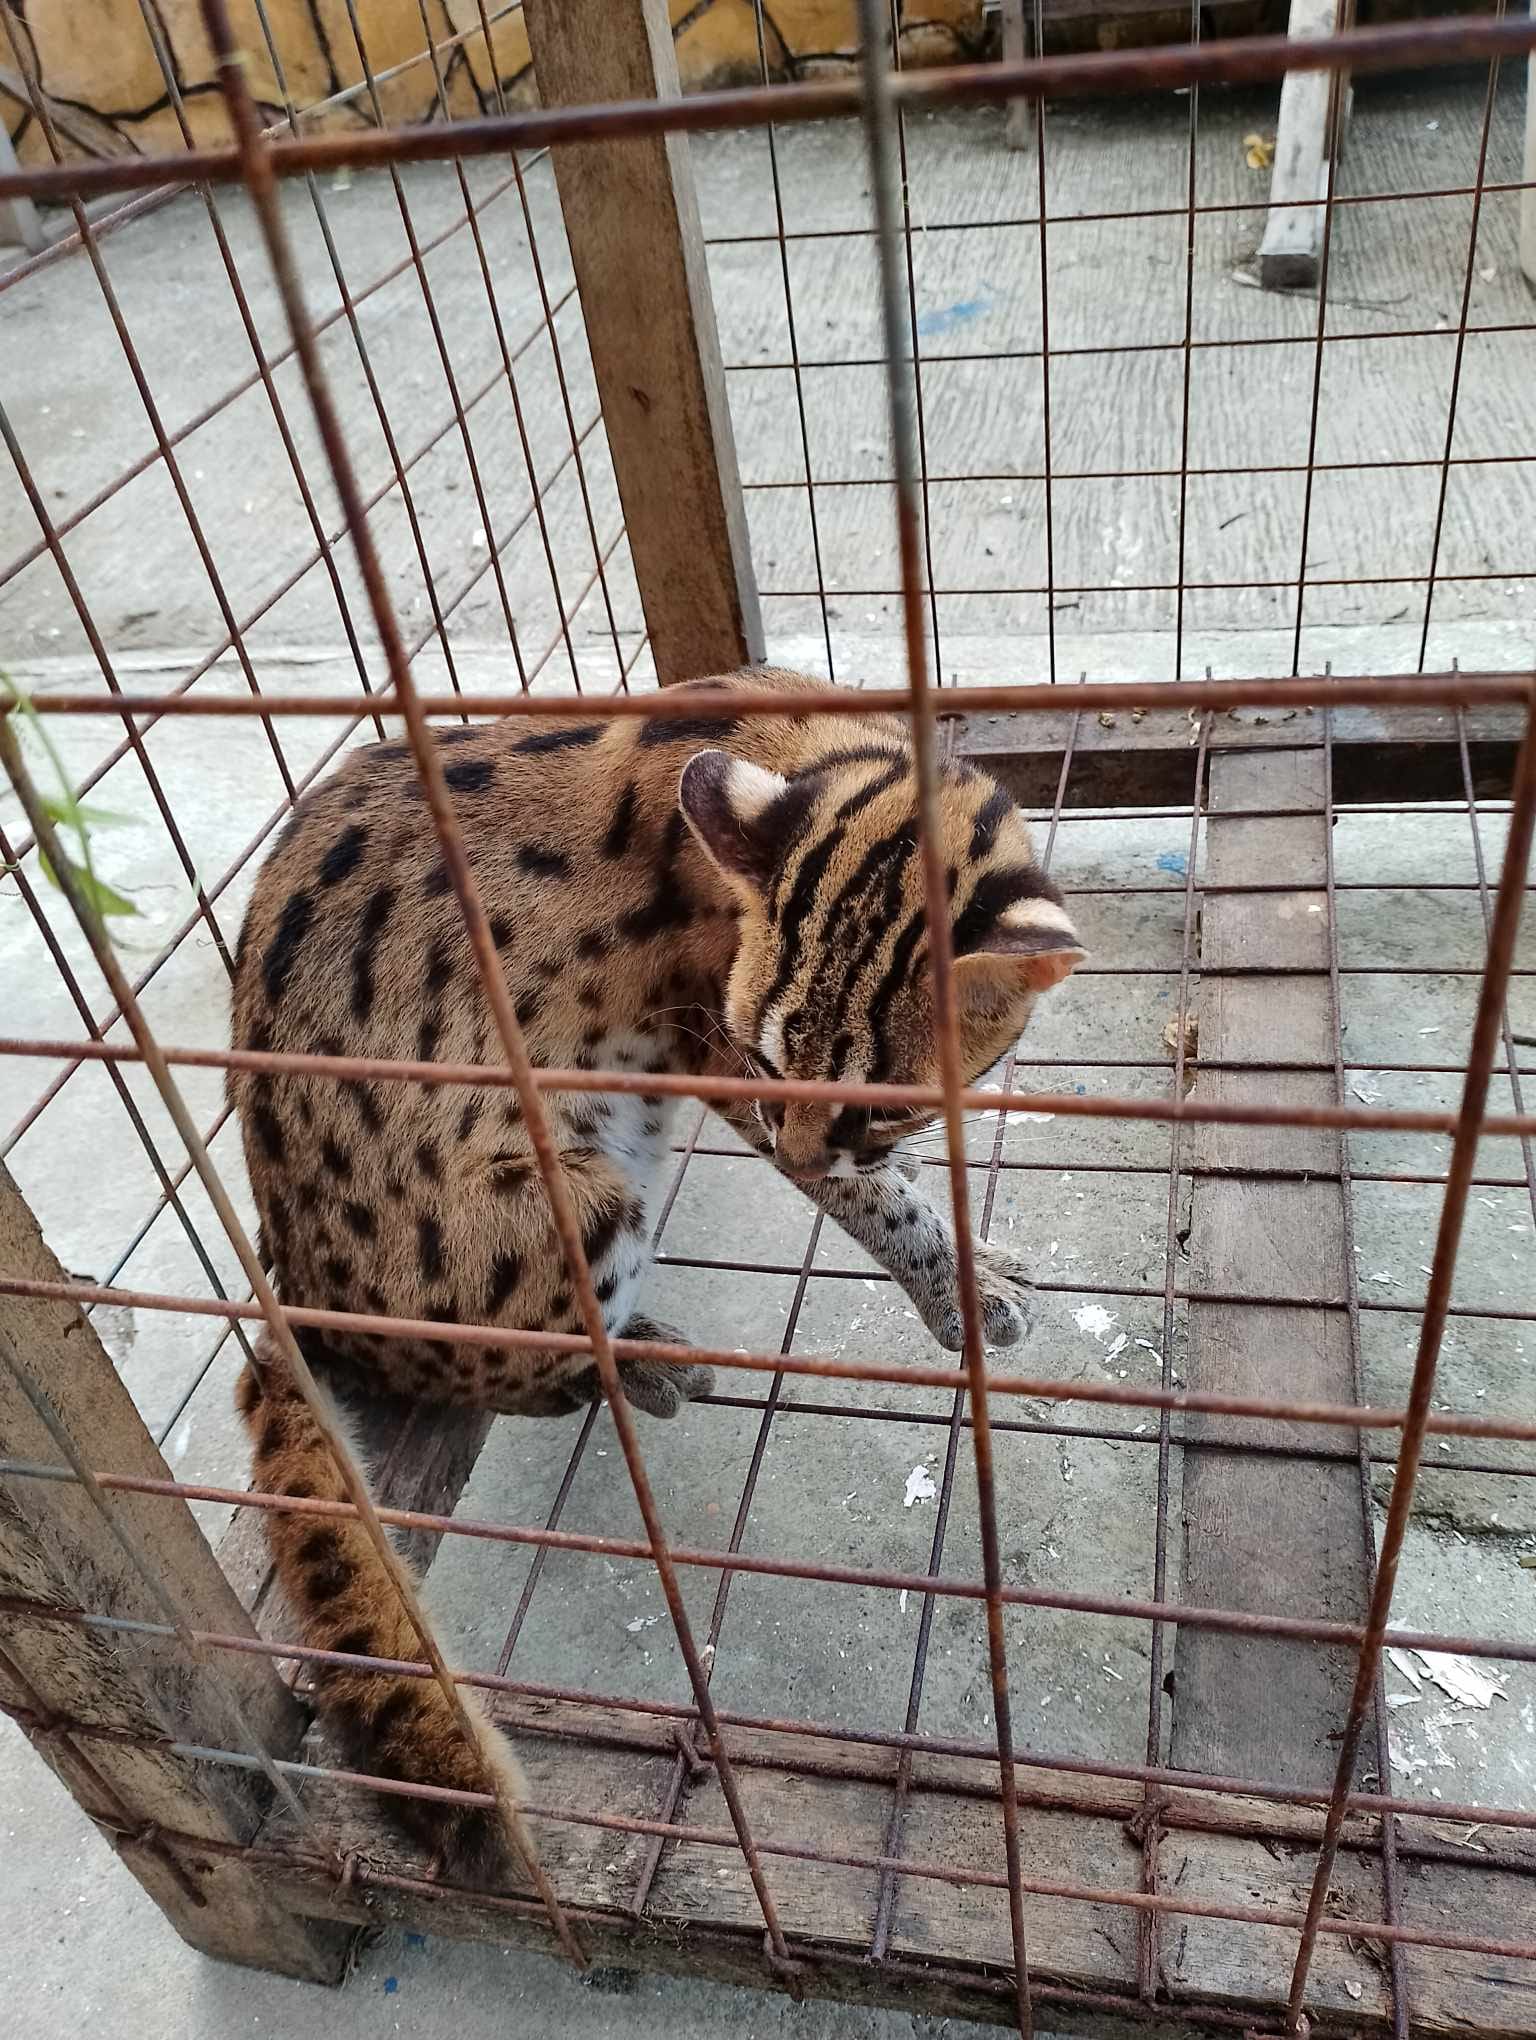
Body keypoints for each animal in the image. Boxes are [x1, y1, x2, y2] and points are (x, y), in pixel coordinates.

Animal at [228, 665, 1084, 1879]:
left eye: (876, 1107)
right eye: (770, 1065)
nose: (800, 1151)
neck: (824, 744)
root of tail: (291, 1280)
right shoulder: (702, 1041)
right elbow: (871, 1206)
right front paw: (953, 1279)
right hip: (586, 1193)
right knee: (517, 1371)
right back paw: (635, 1360)